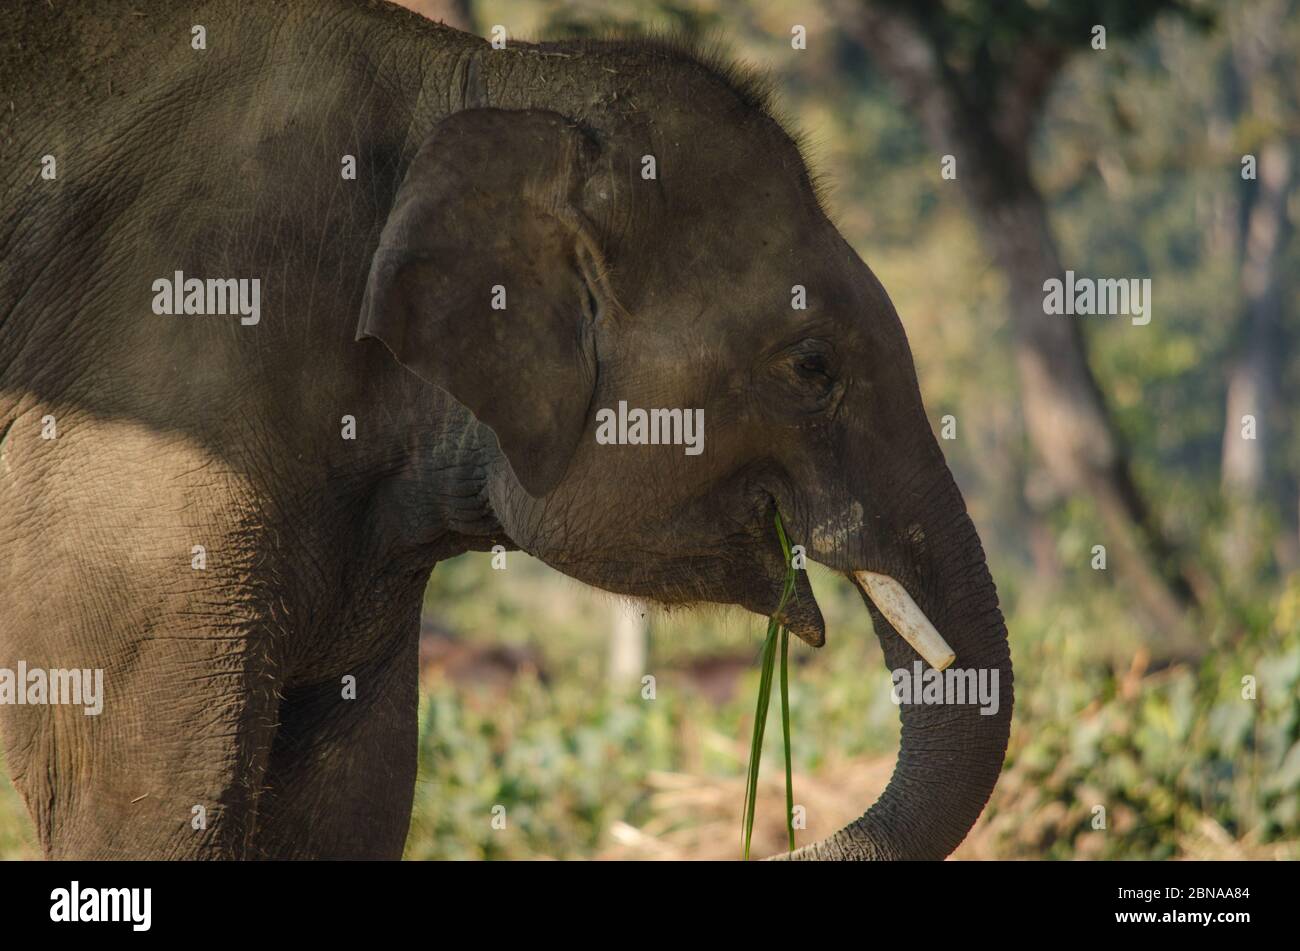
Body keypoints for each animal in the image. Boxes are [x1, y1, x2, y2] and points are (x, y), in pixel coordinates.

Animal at [0, 0, 1012, 860]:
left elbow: (350, 800)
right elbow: (148, 810)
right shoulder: (161, 414)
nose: (767, 832)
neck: (474, 82)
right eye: (812, 366)